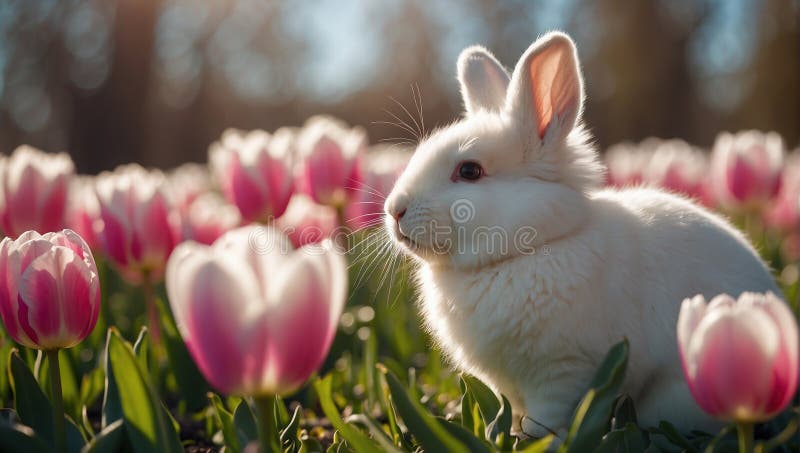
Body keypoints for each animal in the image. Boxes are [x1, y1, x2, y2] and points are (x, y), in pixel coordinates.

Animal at [383, 32, 779, 438]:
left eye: (469, 171)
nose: (394, 210)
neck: (531, 247)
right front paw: (504, 430)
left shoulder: (563, 371)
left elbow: (546, 418)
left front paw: (531, 439)